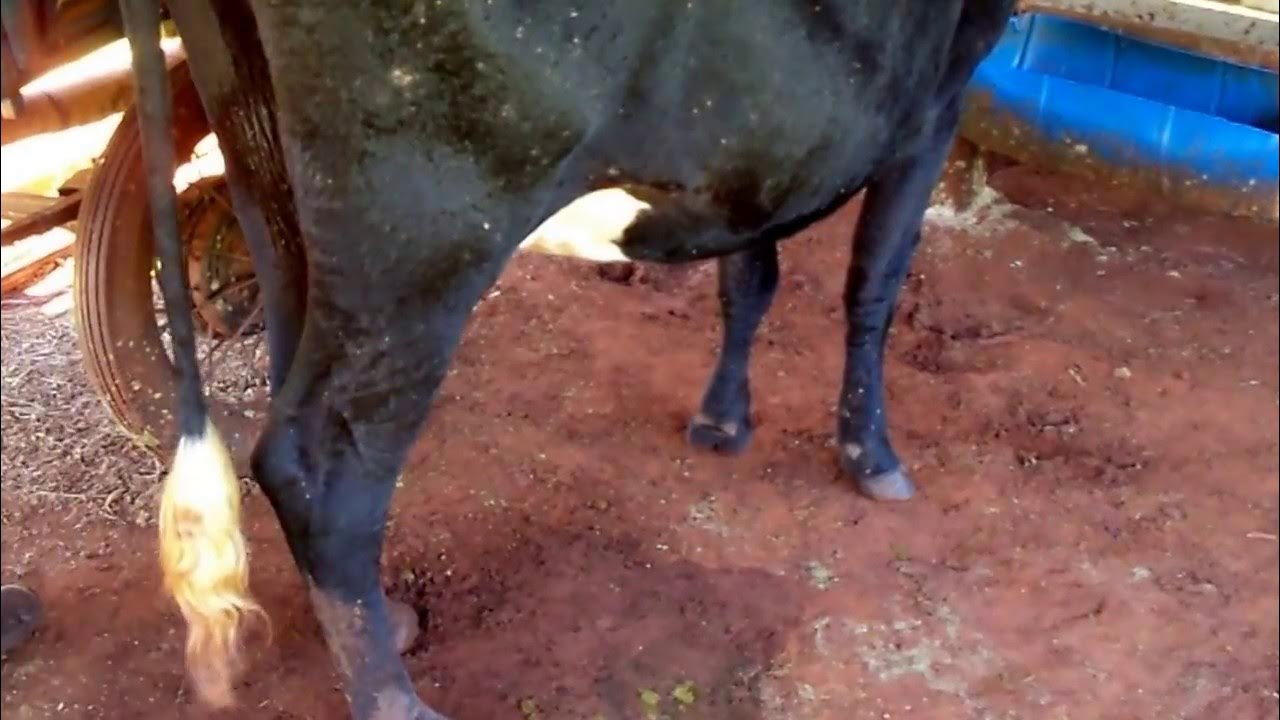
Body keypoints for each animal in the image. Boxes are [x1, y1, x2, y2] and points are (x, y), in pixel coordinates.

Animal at [117, 1, 1017, 718]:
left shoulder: (756, 150)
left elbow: (751, 272)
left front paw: (723, 418)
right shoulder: (936, 97)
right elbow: (875, 280)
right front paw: (872, 454)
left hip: (267, 166)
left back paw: (370, 623)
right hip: (426, 220)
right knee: (318, 467)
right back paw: (392, 701)